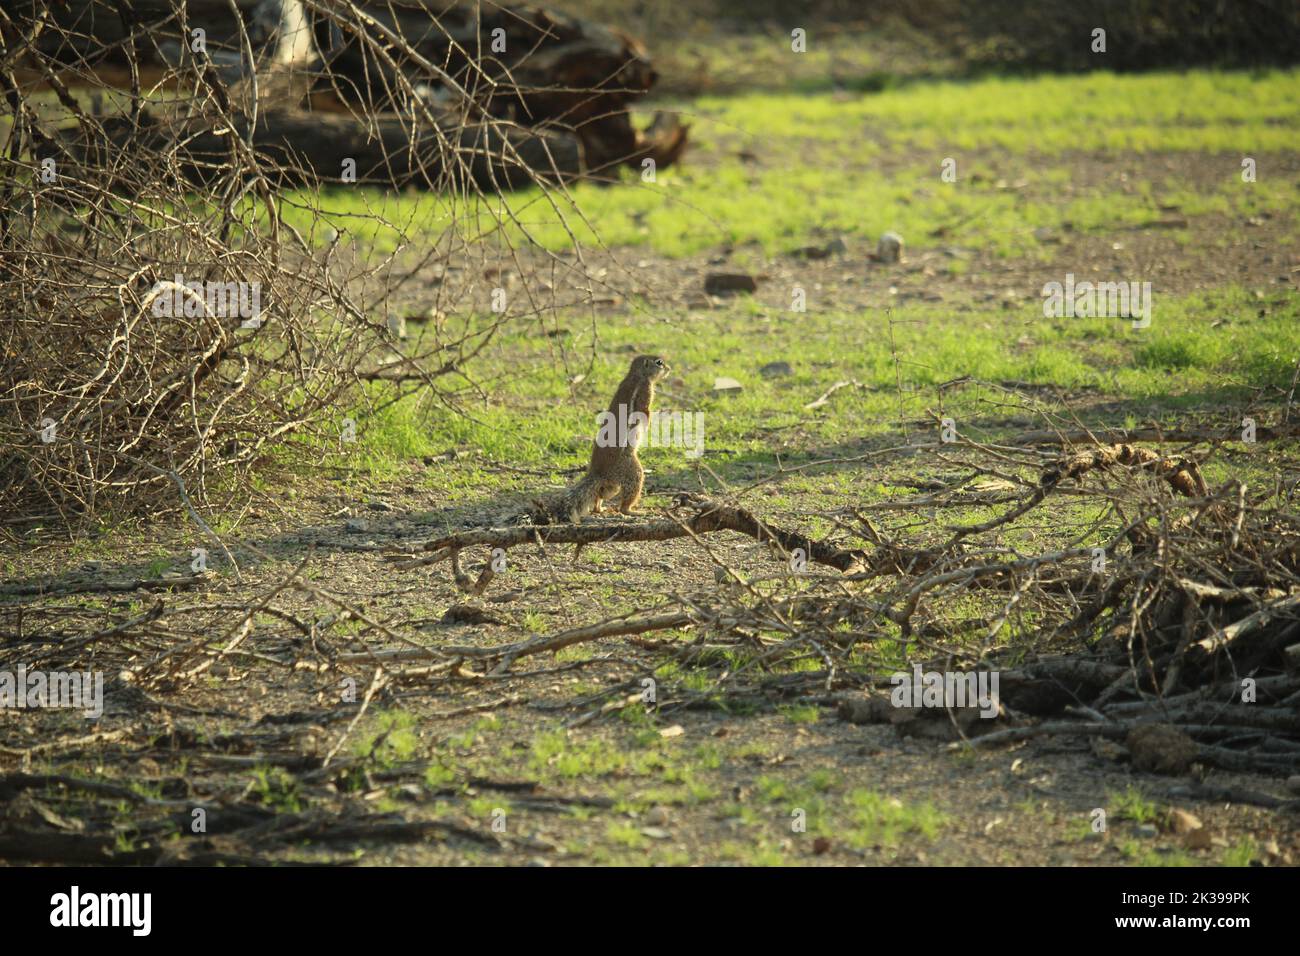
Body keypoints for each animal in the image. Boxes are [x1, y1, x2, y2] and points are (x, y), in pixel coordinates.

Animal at [547, 355, 670, 523]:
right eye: (659, 362)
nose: (669, 369)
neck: (637, 375)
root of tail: (598, 472)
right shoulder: (645, 392)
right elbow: (646, 413)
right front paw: (647, 425)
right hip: (633, 473)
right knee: (623, 505)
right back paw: (634, 511)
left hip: (613, 486)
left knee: (599, 493)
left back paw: (600, 508)